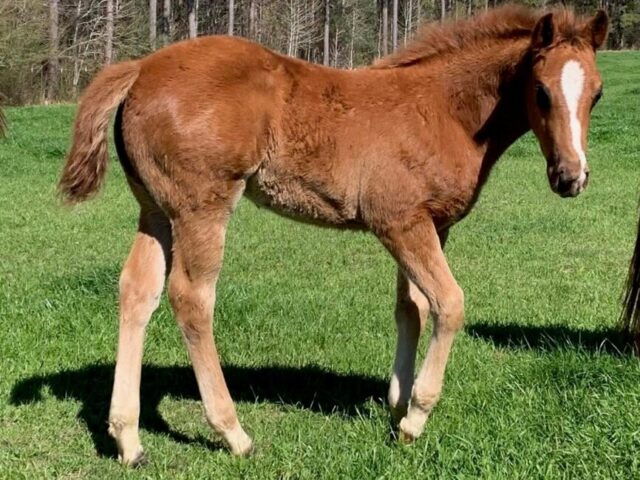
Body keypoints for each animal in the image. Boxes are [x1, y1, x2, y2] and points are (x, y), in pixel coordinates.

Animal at [58, 6, 609, 465]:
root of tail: (140, 69)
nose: (571, 177)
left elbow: (412, 307)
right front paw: (415, 418)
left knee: (137, 291)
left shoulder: (430, 224)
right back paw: (234, 433)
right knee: (192, 299)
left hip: (156, 210)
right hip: (201, 208)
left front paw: (395, 403)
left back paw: (129, 441)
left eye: (597, 94)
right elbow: (449, 304)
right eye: (541, 91)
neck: (444, 110)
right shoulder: (399, 222)